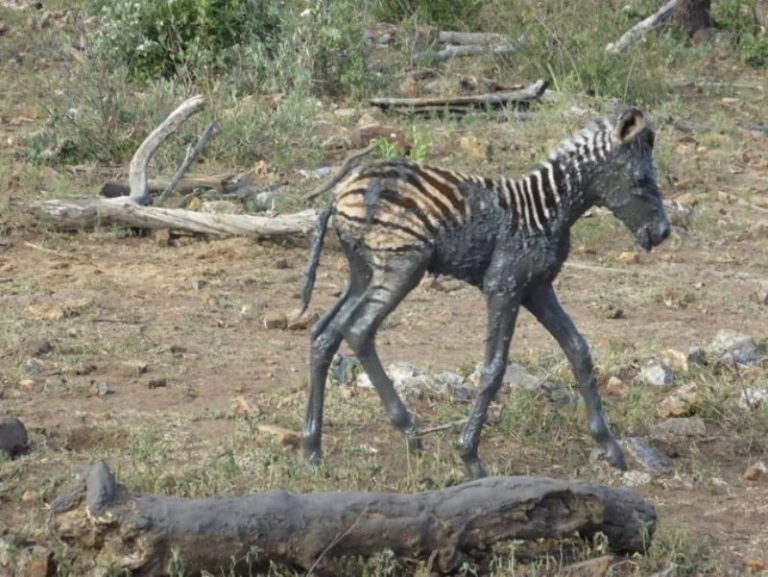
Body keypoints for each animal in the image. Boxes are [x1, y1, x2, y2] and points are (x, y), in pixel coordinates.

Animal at [299, 107, 670, 478]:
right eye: (641, 179)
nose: (663, 233)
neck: (547, 213)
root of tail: (340, 194)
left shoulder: (537, 288)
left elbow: (578, 351)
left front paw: (609, 446)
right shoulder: (503, 286)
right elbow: (493, 369)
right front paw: (470, 456)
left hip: (363, 272)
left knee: (325, 333)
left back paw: (313, 448)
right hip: (402, 266)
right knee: (358, 330)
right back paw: (408, 431)